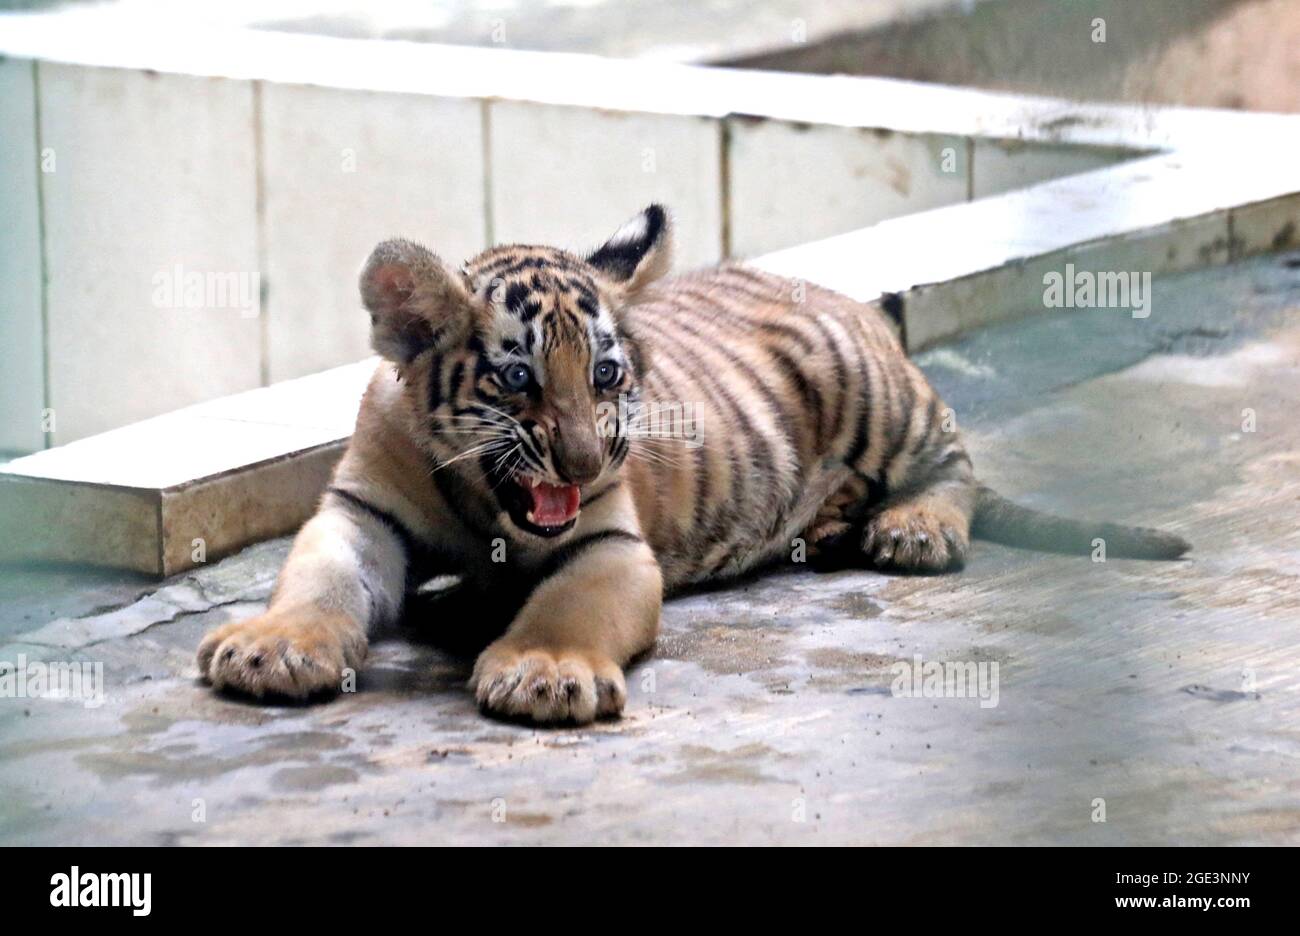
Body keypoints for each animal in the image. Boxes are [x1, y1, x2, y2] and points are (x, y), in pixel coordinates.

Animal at [196, 205, 1189, 724]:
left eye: (605, 375)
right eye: (518, 379)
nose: (585, 457)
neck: (488, 507)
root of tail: (838, 296)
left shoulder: (607, 543)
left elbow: (569, 604)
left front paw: (543, 674)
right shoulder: (360, 512)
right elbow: (320, 581)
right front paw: (274, 649)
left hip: (879, 398)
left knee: (958, 458)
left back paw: (911, 529)